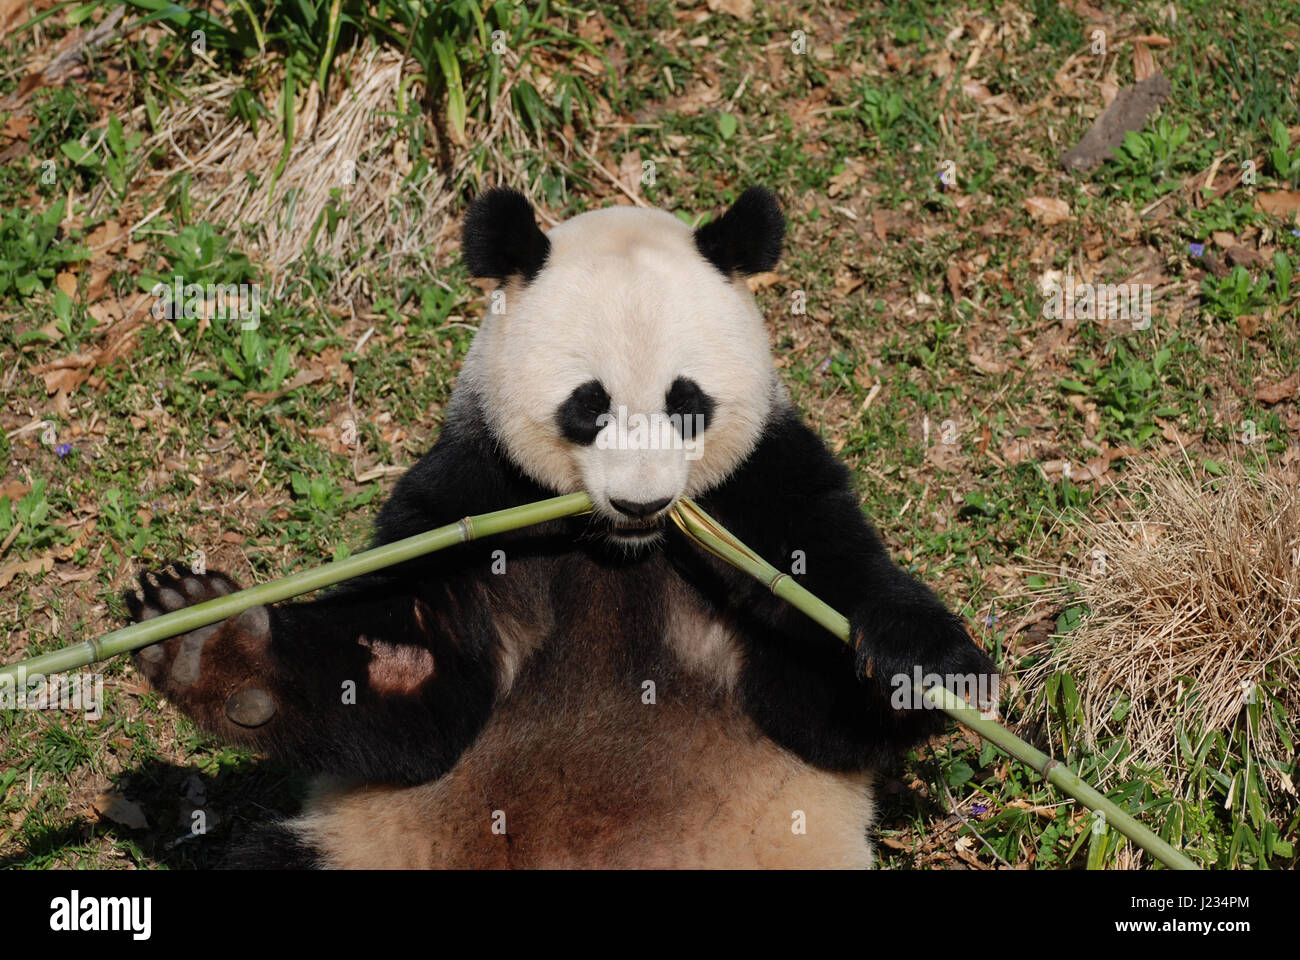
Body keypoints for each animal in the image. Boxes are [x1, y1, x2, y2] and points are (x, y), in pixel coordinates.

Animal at [125, 187, 996, 868]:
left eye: (687, 403)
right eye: (590, 404)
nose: (642, 503)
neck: (619, 555)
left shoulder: (763, 490)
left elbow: (820, 685)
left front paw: (922, 667)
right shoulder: (473, 495)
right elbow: (413, 683)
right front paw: (207, 640)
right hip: (364, 847)